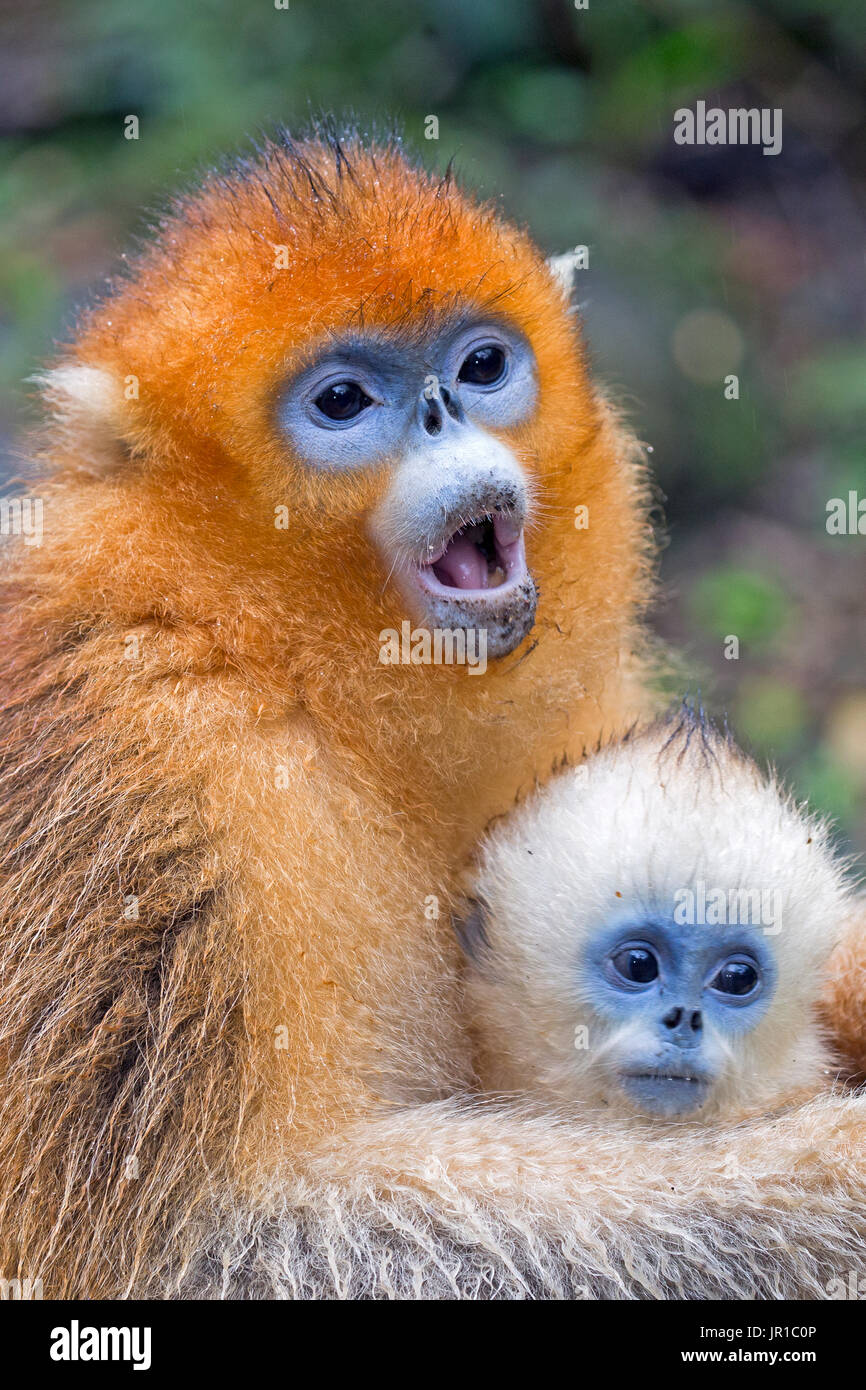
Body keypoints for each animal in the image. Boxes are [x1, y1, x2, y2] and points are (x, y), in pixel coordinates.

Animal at [1, 123, 865, 1299]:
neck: (272, 657)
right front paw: (837, 1169)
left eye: (480, 366)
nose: (444, 412)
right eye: (343, 403)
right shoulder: (142, 782)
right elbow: (205, 1242)